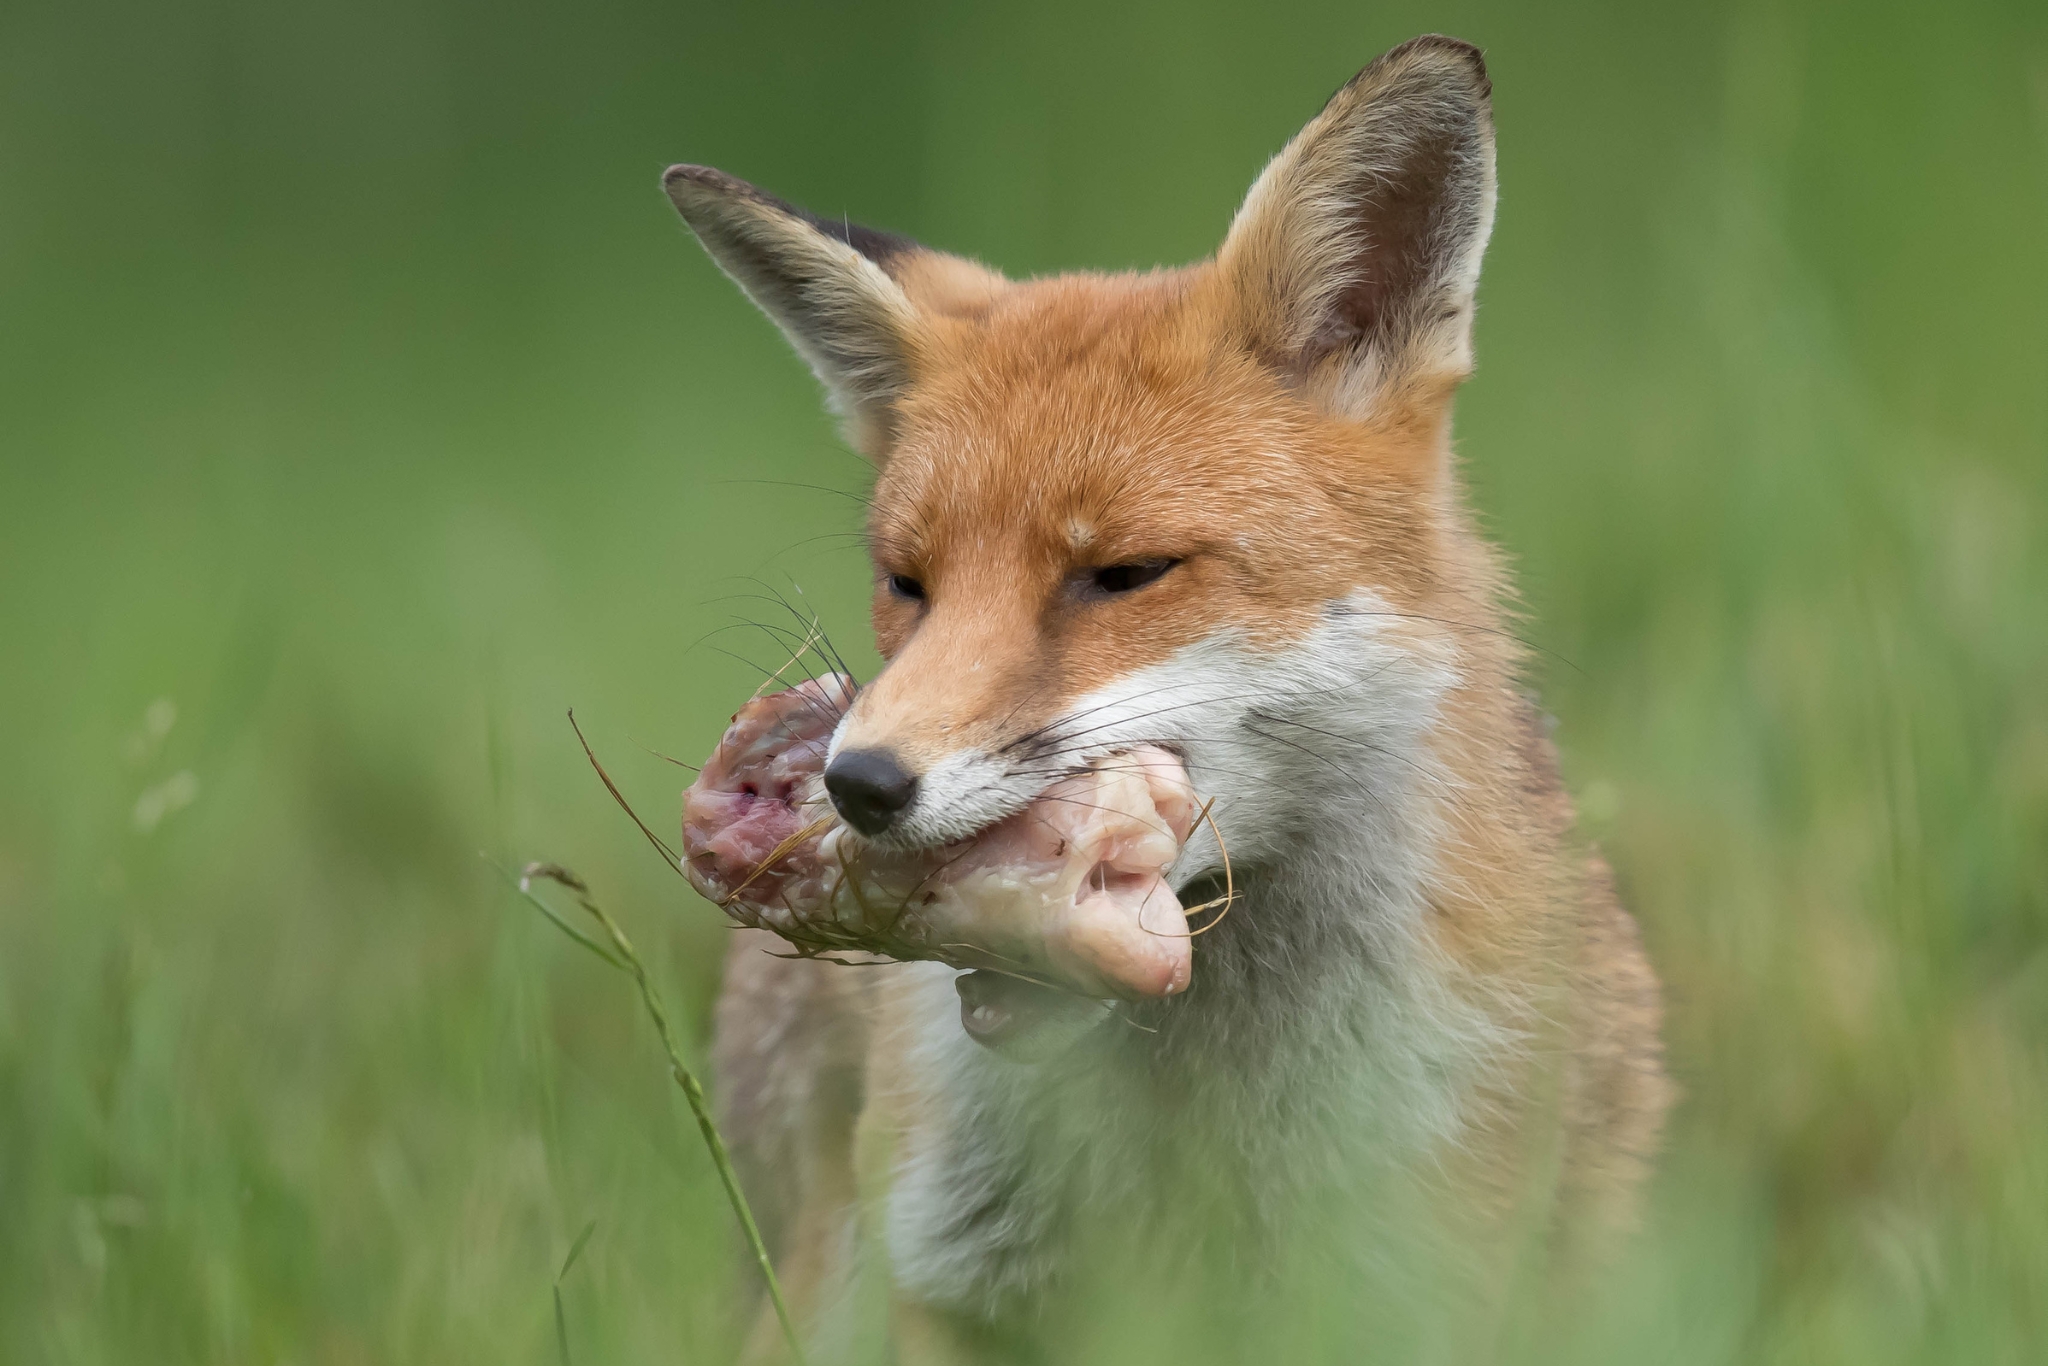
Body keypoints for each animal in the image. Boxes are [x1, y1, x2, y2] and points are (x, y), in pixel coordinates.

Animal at [662, 34, 1672, 1365]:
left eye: (1126, 574)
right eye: (906, 583)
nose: (858, 784)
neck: (1197, 1132)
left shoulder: (1406, 1287)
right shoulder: (953, 1281)